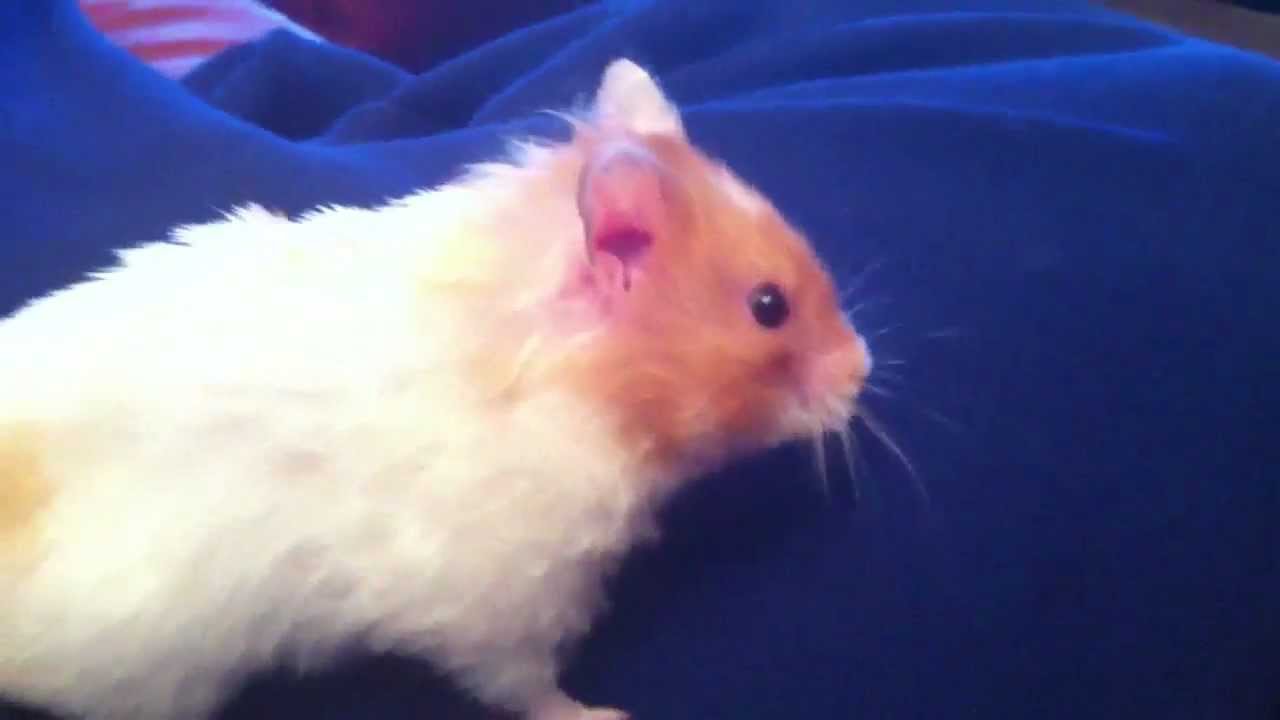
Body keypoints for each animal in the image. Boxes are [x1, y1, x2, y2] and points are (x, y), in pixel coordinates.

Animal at [0, 59, 871, 720]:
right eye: (769, 306)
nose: (864, 369)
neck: (576, 389)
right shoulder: (496, 602)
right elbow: (526, 685)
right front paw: (604, 715)